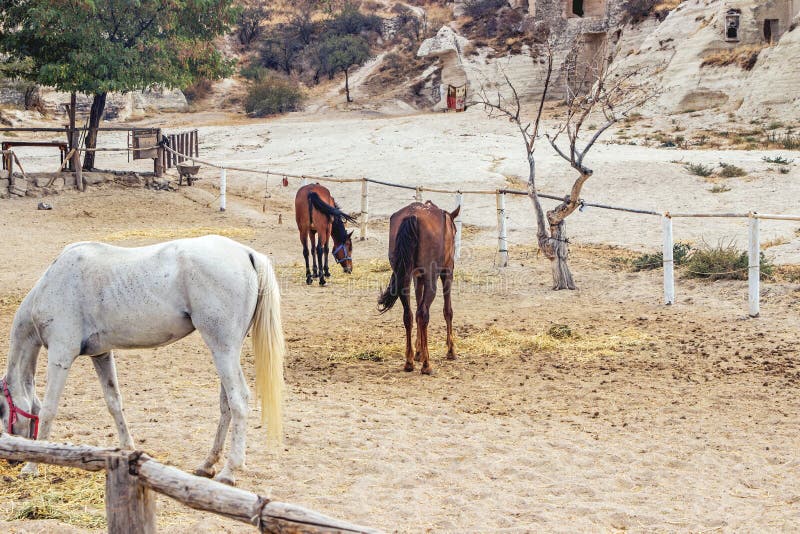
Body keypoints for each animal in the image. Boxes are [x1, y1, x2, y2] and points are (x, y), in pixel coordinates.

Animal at [0, 235, 285, 486]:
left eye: (2, 407)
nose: (12, 459)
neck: (54, 282)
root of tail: (247, 254)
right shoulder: (101, 355)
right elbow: (114, 403)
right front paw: (127, 449)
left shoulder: (61, 355)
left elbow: (48, 409)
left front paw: (32, 466)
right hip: (226, 352)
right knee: (226, 405)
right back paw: (208, 464)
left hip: (223, 349)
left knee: (239, 401)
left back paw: (229, 471)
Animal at [378, 201, 460, 374]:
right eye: (455, 231)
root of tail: (412, 216)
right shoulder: (447, 272)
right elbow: (447, 311)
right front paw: (450, 350)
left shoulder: (417, 277)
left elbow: (415, 312)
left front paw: (418, 352)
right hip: (432, 279)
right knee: (423, 314)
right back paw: (426, 365)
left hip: (404, 278)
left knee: (408, 315)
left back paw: (409, 361)